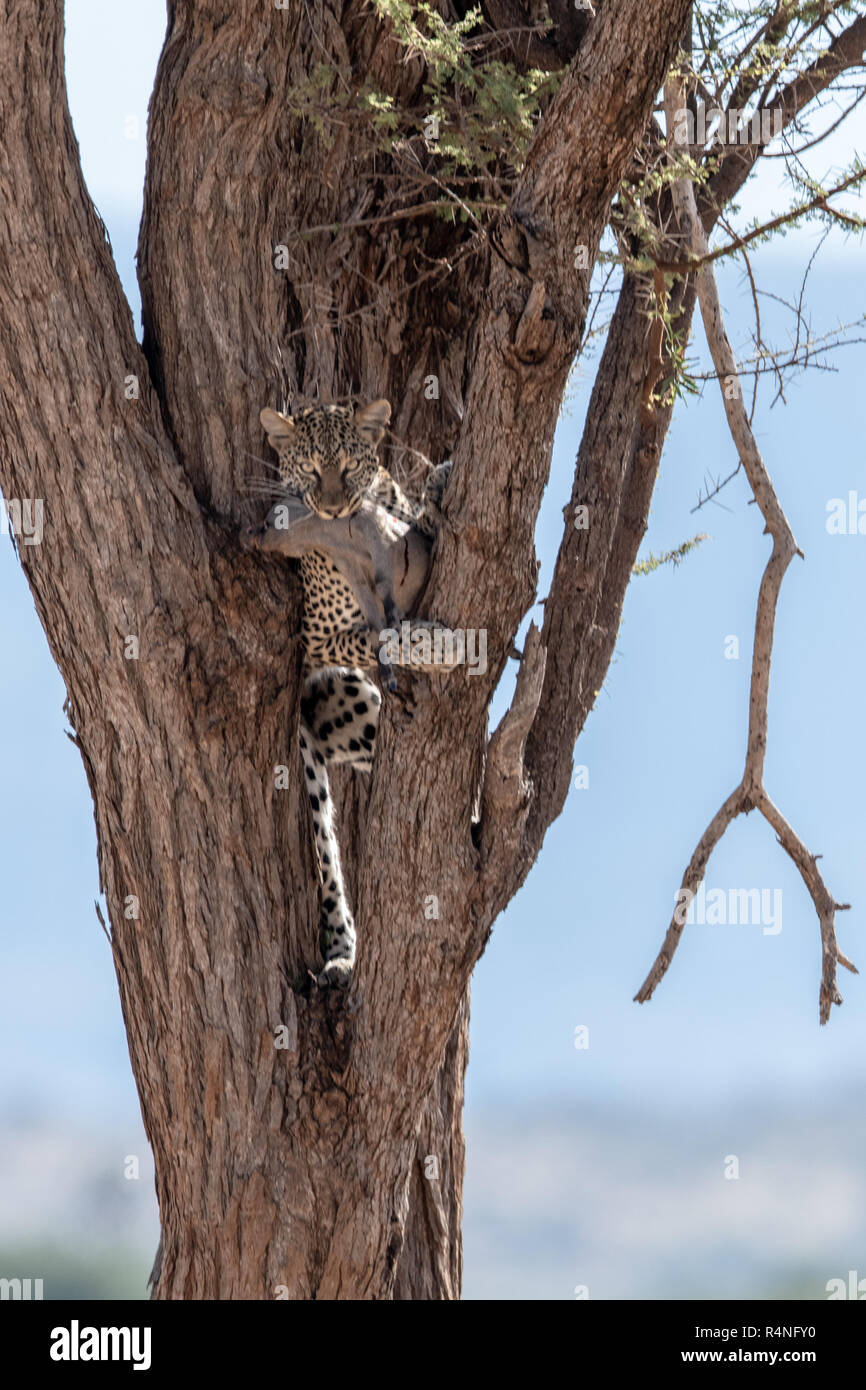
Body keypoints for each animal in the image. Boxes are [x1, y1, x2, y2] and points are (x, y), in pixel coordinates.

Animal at [258, 399, 453, 987]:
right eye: (308, 470)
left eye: (348, 467)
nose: (333, 509)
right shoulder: (319, 636)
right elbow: (378, 635)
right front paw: (438, 645)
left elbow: (422, 521)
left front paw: (438, 483)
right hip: (329, 715)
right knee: (326, 851)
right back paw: (341, 954)